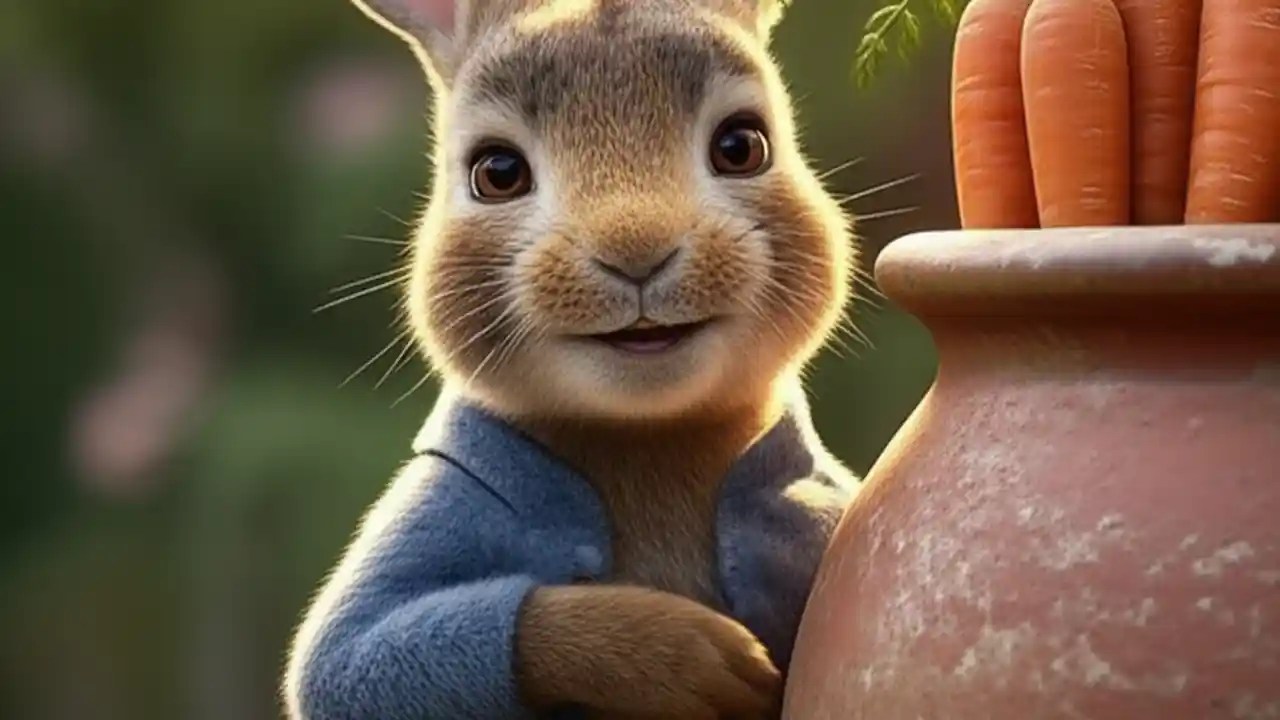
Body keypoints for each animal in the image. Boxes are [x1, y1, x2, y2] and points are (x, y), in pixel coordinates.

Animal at [284, 1, 861, 719]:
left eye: (741, 146)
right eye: (496, 172)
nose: (636, 252)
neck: (648, 434)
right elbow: (348, 659)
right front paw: (700, 658)